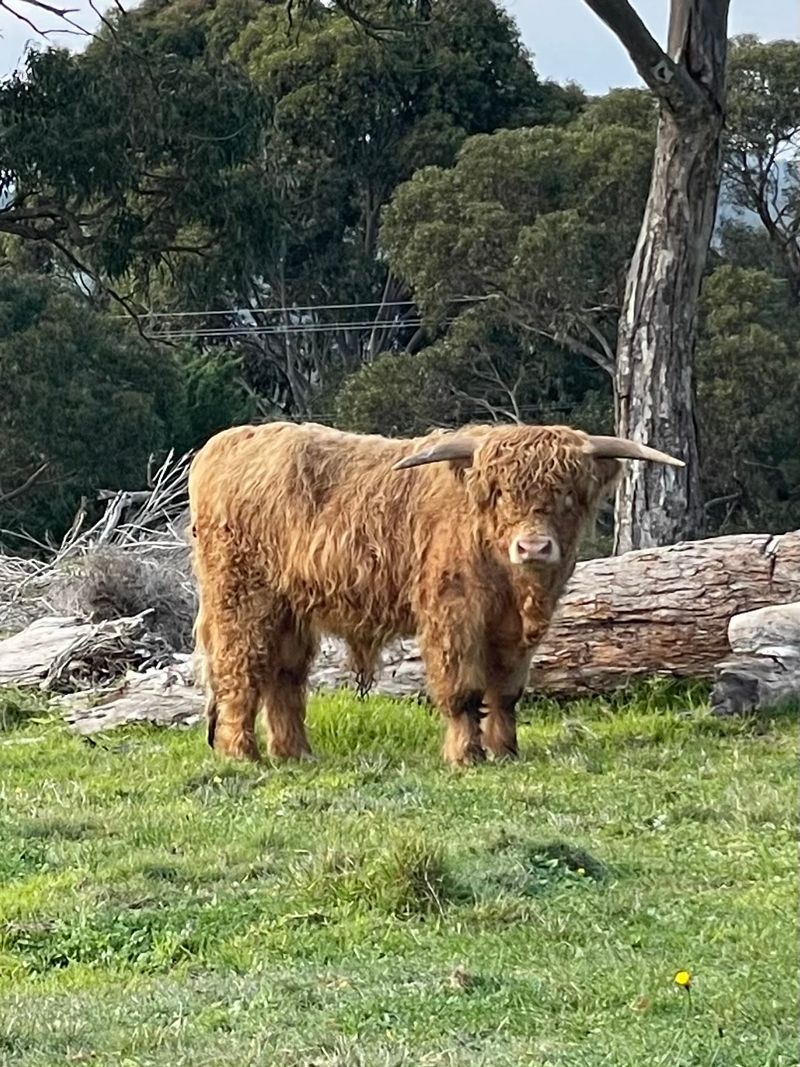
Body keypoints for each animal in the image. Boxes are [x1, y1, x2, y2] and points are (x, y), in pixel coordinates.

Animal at [188, 421, 682, 766]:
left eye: (566, 495)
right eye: (499, 494)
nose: (533, 547)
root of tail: (227, 441)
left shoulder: (512, 634)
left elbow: (506, 692)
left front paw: (506, 751)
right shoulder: (454, 615)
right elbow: (463, 690)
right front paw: (466, 755)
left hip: (291, 610)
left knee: (285, 676)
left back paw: (295, 753)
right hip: (241, 597)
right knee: (239, 671)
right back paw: (241, 754)